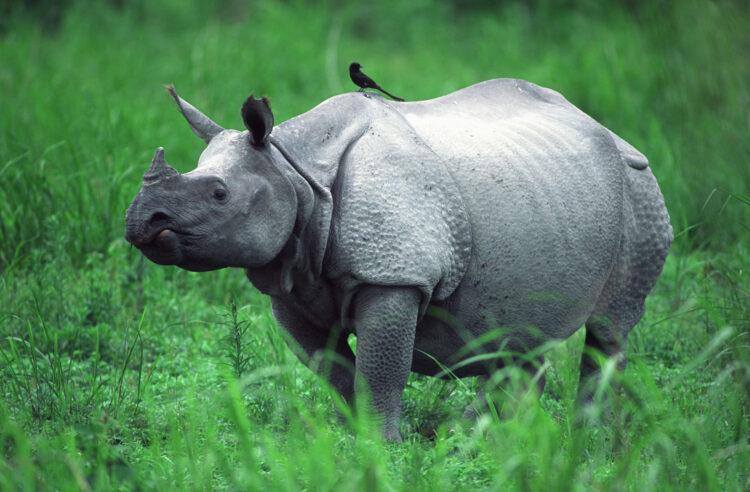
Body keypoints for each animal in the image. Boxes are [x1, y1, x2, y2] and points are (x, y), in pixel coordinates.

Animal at [125, 79, 672, 441]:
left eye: (219, 194)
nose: (140, 220)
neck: (293, 170)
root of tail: (605, 128)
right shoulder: (290, 283)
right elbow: (335, 371)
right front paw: (355, 443)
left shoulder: (395, 276)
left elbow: (380, 372)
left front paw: (384, 450)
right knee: (522, 333)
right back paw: (488, 439)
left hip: (639, 187)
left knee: (609, 329)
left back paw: (582, 442)